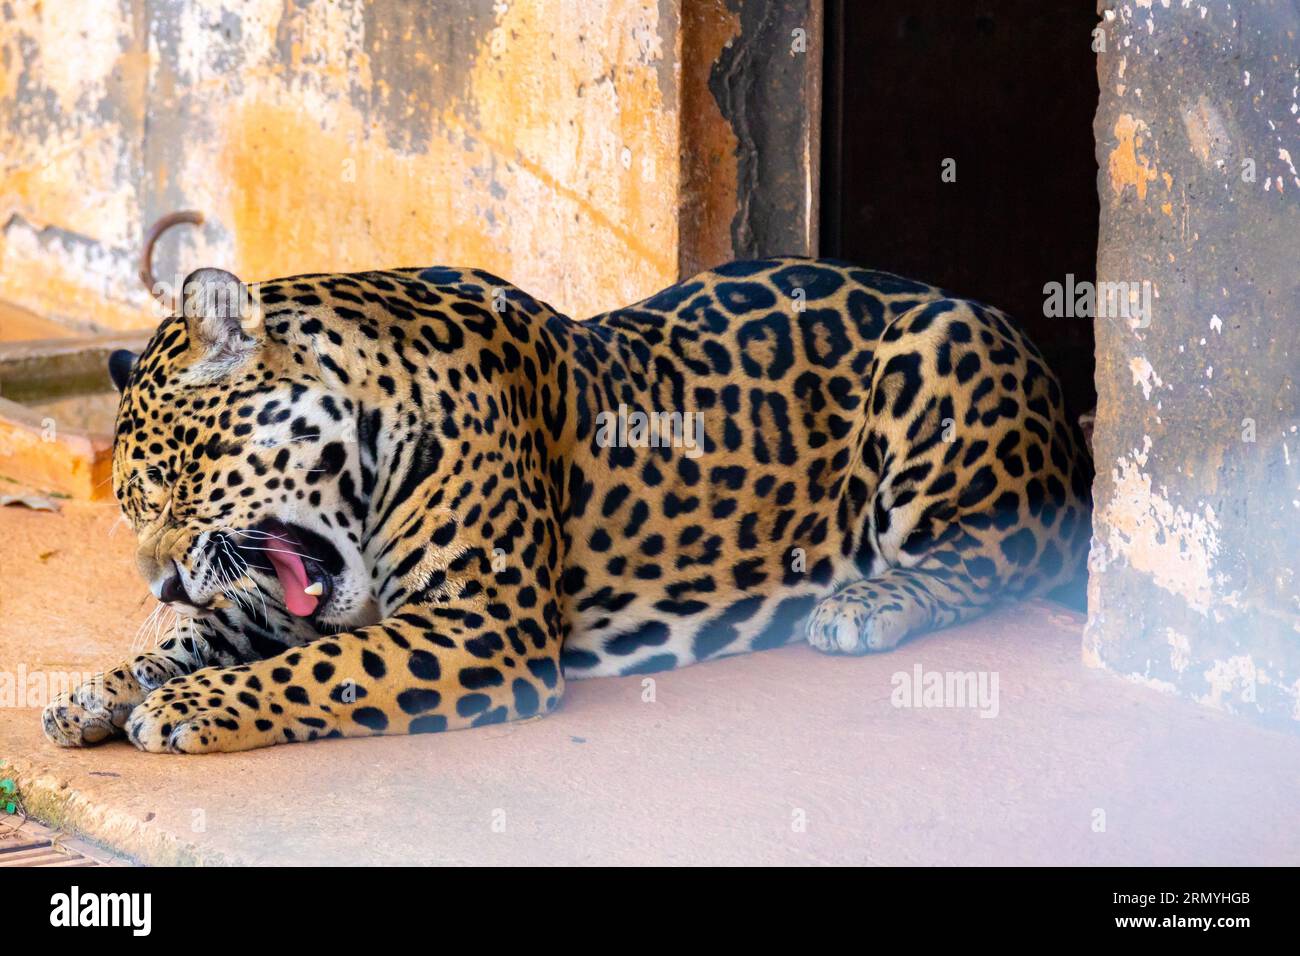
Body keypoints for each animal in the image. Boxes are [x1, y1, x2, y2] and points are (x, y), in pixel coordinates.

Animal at [42, 257, 1091, 754]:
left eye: (171, 486)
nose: (160, 582)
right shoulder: (272, 602)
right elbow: (198, 640)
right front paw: (98, 689)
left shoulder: (486, 622)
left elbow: (323, 664)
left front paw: (188, 706)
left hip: (941, 356)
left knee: (1011, 551)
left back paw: (867, 603)